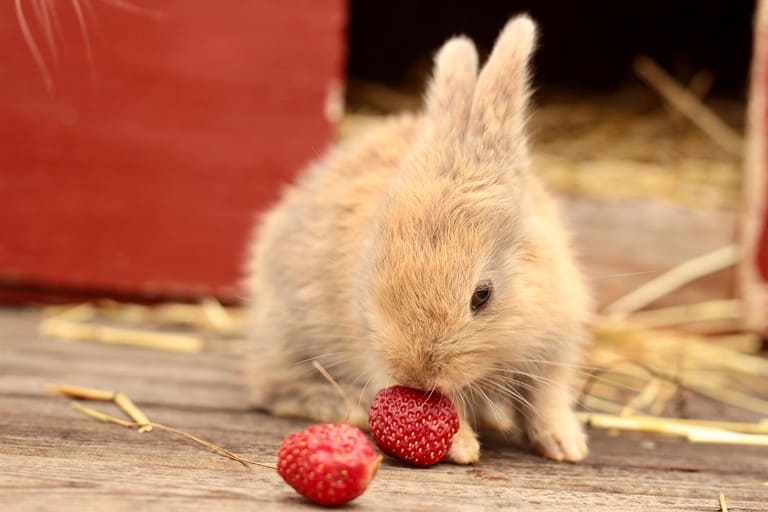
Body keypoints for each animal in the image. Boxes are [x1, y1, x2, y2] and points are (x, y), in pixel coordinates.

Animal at [244, 15, 592, 464]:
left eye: (483, 295)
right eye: (373, 275)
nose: (416, 374)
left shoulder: (554, 342)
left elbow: (547, 395)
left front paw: (566, 446)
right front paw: (462, 448)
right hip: (290, 327)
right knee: (269, 385)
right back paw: (342, 405)